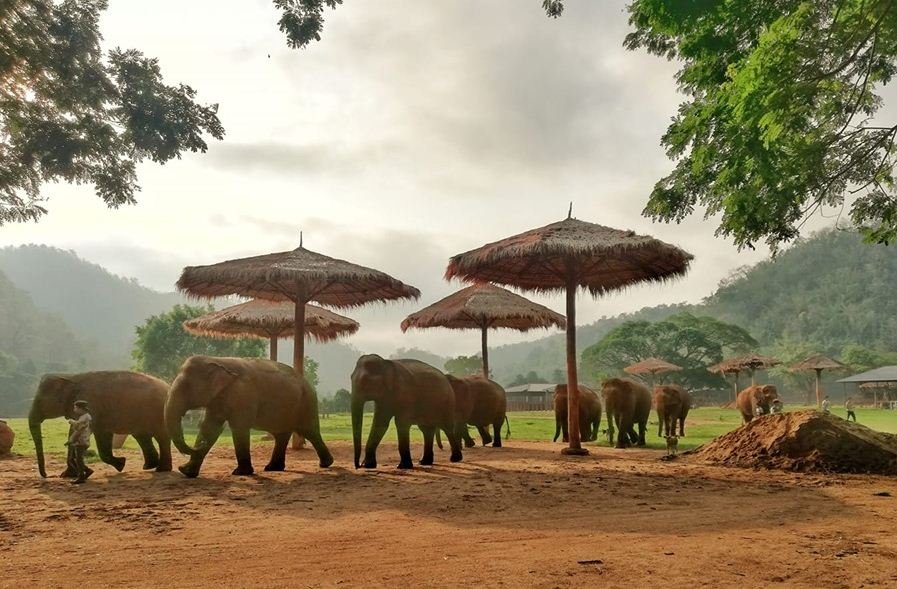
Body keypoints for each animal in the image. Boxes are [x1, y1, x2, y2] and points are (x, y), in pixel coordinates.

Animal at [29, 371, 172, 478]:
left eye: (40, 401)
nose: (46, 475)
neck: (71, 377)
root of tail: (168, 386)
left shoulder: (92, 407)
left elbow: (101, 435)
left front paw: (121, 464)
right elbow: (74, 431)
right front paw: (67, 475)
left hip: (158, 413)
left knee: (161, 437)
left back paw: (161, 469)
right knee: (142, 436)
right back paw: (149, 466)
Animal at [165, 356, 333, 478]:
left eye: (186, 386)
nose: (199, 444)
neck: (216, 360)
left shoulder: (243, 396)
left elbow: (239, 428)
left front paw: (240, 473)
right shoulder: (218, 399)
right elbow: (210, 427)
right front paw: (185, 472)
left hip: (307, 403)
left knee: (309, 431)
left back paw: (326, 464)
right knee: (282, 435)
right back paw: (272, 468)